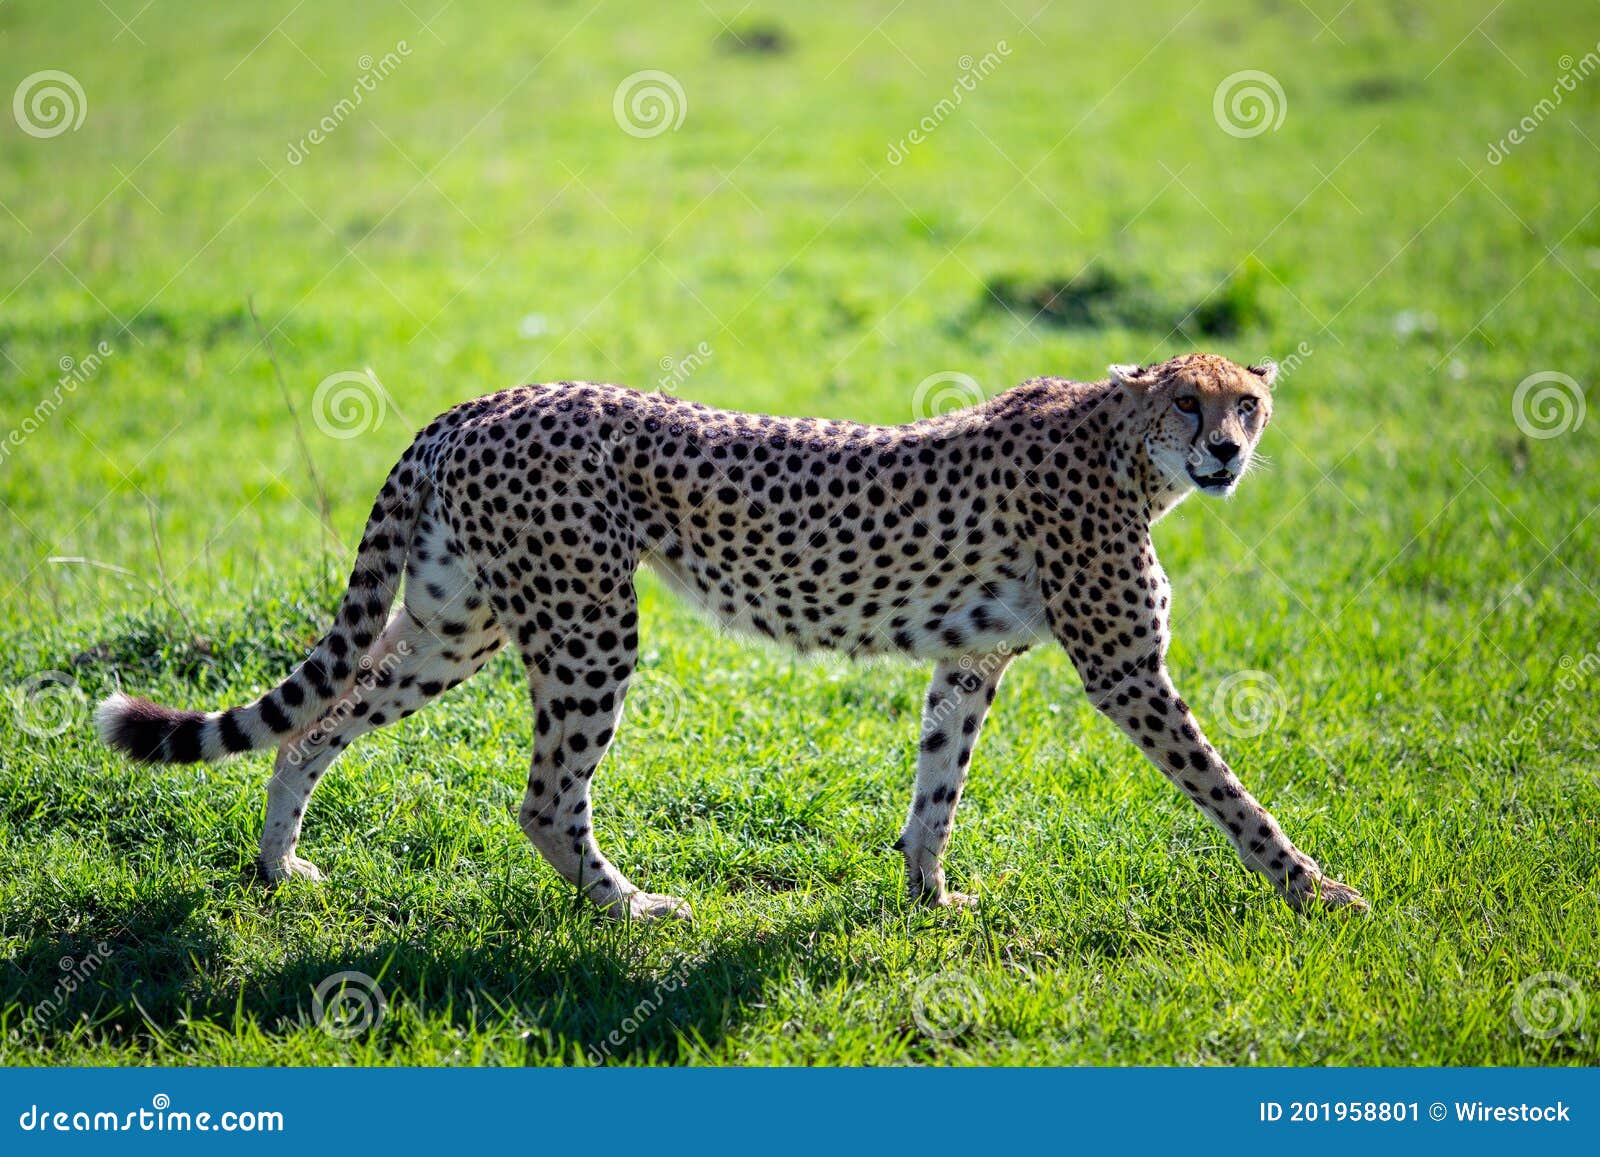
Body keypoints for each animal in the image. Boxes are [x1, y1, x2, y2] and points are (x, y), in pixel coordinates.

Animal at [95, 351, 1368, 920]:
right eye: (1185, 403)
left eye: (1246, 402)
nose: (1227, 452)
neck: (1118, 443)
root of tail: (487, 399)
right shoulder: (1123, 668)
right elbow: (1228, 789)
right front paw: (1317, 890)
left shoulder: (968, 659)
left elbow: (937, 785)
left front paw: (927, 895)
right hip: (587, 622)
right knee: (544, 796)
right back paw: (627, 908)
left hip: (457, 622)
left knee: (318, 721)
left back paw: (278, 865)